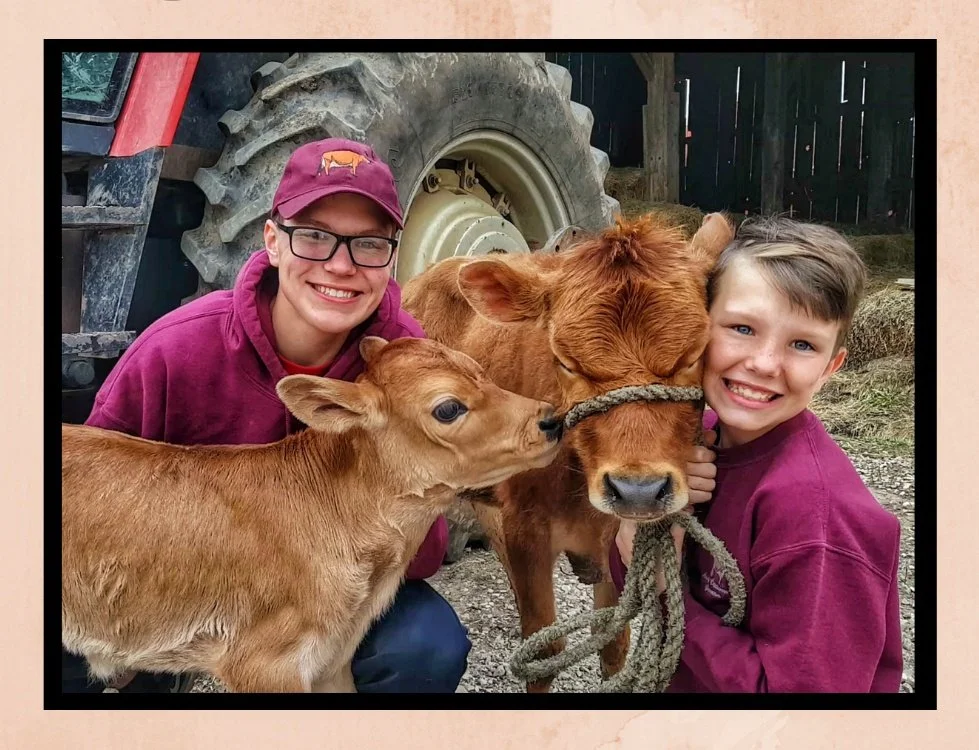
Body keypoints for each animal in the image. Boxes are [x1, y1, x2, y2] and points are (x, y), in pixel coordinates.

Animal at [403, 212, 735, 691]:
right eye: (565, 360)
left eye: (694, 354)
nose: (638, 490)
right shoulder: (526, 528)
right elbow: (544, 648)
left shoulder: (609, 537)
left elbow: (614, 639)